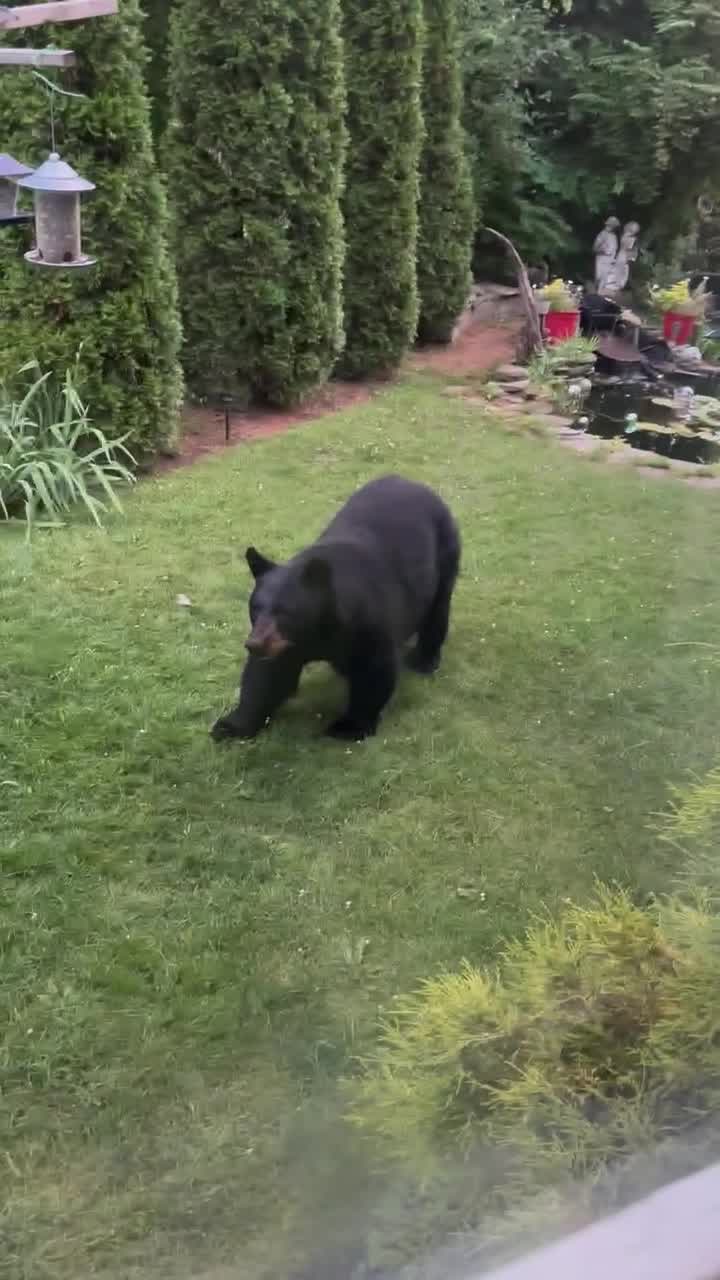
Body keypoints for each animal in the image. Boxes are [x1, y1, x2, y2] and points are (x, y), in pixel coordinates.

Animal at [211, 474, 460, 743]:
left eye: (285, 611)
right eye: (255, 608)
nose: (254, 643)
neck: (321, 626)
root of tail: (415, 483)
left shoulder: (368, 620)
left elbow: (374, 670)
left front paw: (349, 726)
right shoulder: (287, 643)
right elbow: (267, 675)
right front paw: (231, 725)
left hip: (445, 556)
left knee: (437, 611)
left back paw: (423, 660)